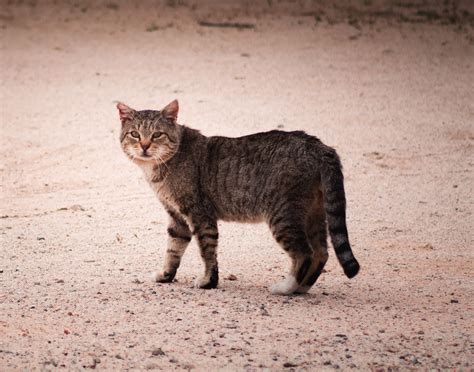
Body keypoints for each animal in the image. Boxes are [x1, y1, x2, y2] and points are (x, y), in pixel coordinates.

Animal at [117, 100, 360, 294]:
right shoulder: (177, 217)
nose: (144, 146)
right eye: (135, 134)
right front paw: (166, 276)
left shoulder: (199, 215)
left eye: (157, 134)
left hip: (283, 216)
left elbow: (207, 252)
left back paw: (286, 288)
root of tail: (319, 146)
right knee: (321, 253)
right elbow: (173, 250)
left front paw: (208, 282)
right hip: (313, 214)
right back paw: (301, 288)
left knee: (305, 254)